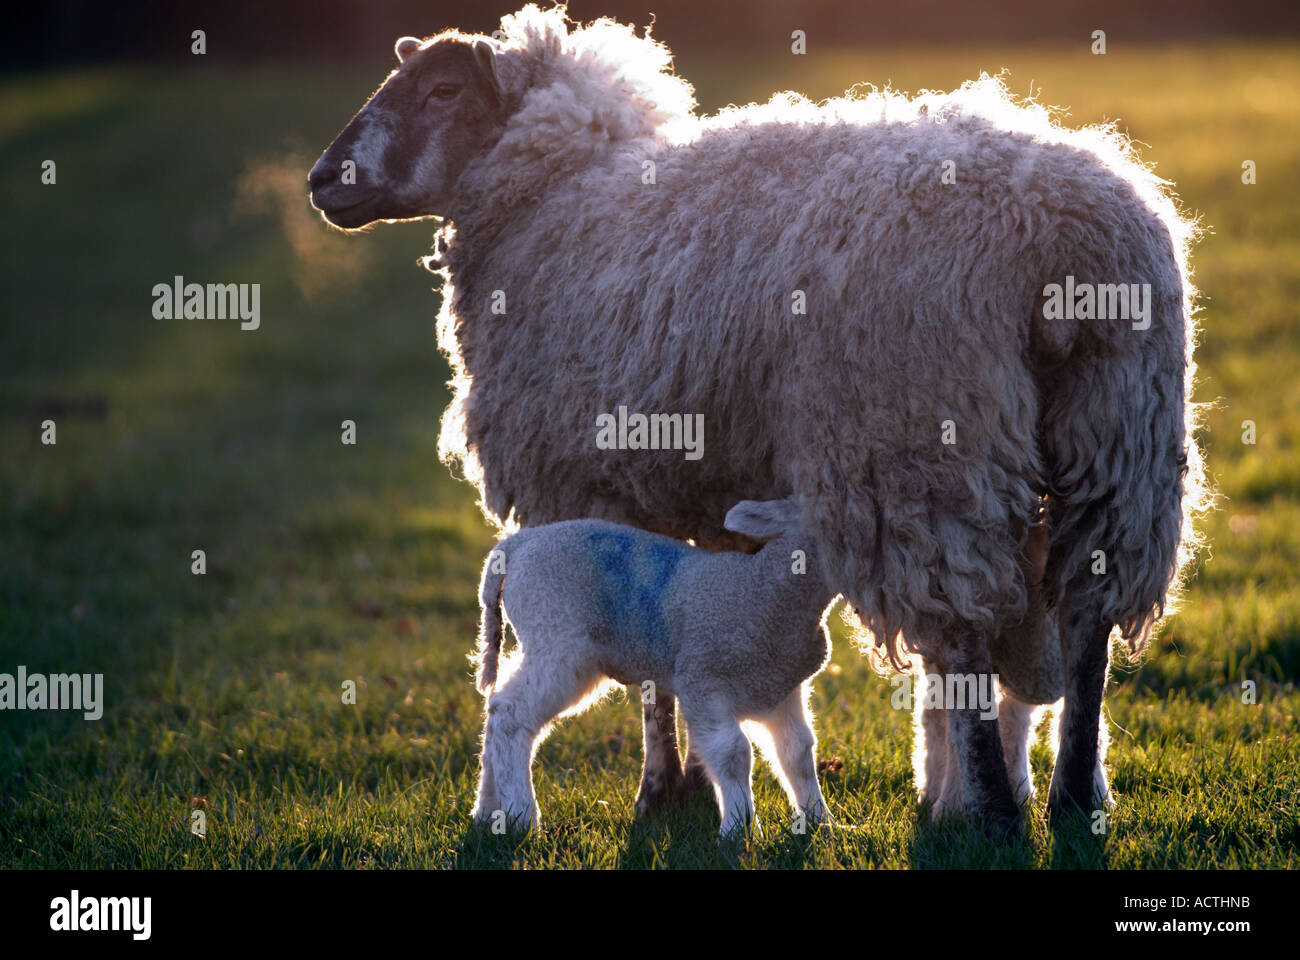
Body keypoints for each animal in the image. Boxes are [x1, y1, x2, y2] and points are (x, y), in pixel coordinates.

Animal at [471, 498, 835, 836]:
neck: (764, 590)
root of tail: (515, 546)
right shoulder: (702, 683)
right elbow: (734, 754)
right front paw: (740, 830)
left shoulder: (782, 692)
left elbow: (798, 753)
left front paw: (821, 821)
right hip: (556, 633)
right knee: (510, 713)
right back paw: (522, 817)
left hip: (546, 640)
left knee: (496, 705)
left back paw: (488, 809)